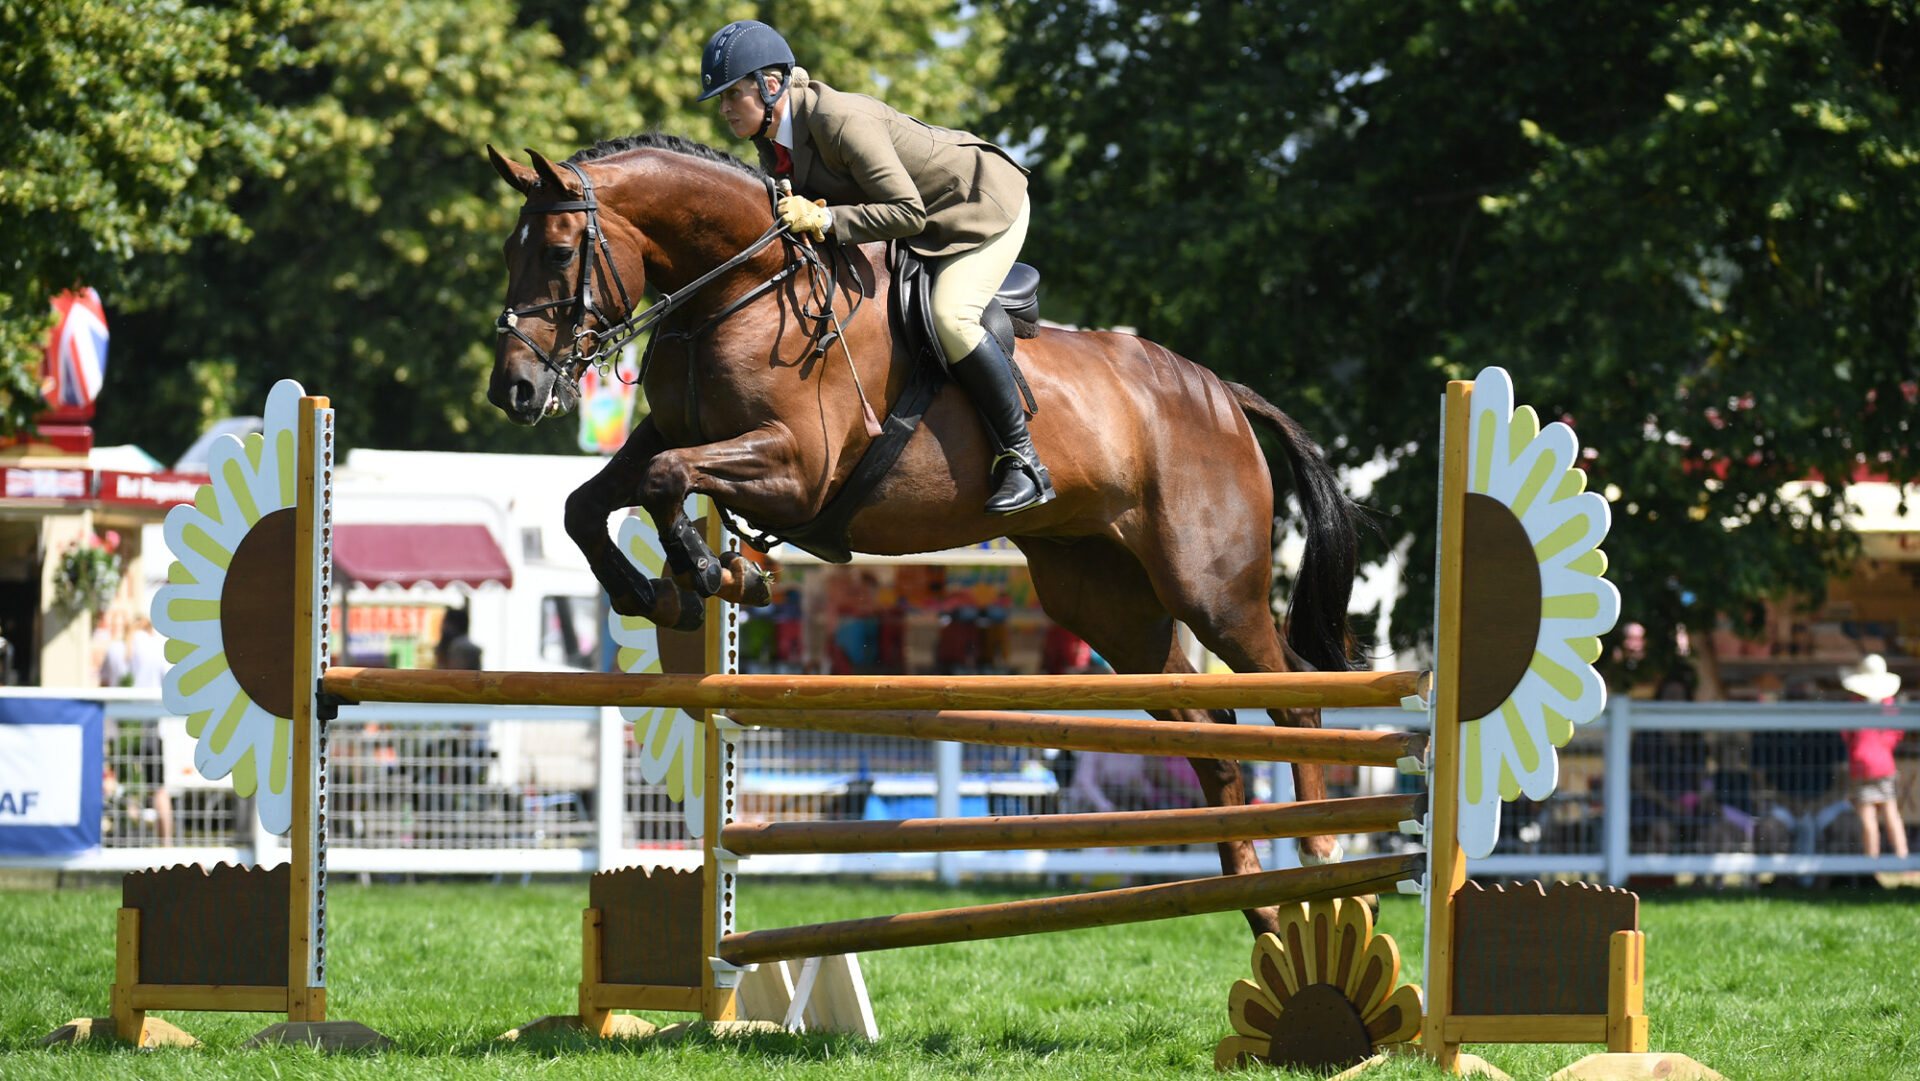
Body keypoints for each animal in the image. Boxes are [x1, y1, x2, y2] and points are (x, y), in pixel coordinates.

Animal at [485, 133, 1361, 937]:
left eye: (558, 252)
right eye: (508, 250)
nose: (514, 391)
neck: (734, 292)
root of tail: (1221, 391)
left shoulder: (799, 468)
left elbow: (668, 479)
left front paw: (711, 571)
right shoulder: (674, 435)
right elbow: (590, 502)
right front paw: (663, 589)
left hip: (1212, 589)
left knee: (1296, 700)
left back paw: (1320, 863)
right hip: (1109, 605)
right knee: (1209, 734)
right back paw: (1262, 906)